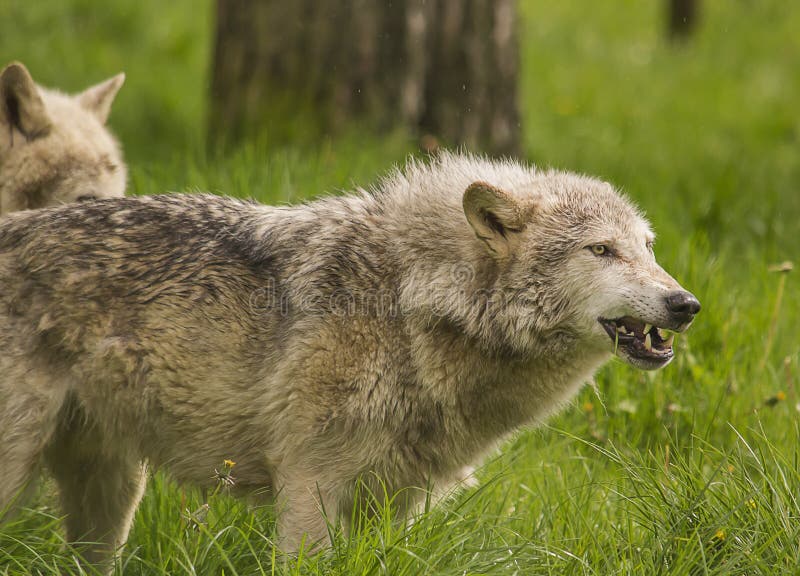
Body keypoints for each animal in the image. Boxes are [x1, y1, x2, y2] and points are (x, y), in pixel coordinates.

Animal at [0, 153, 699, 569]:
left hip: (112, 496)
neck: (412, 300)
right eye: (601, 250)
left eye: (647, 247)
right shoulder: (310, 485)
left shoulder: (392, 503)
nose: (686, 304)